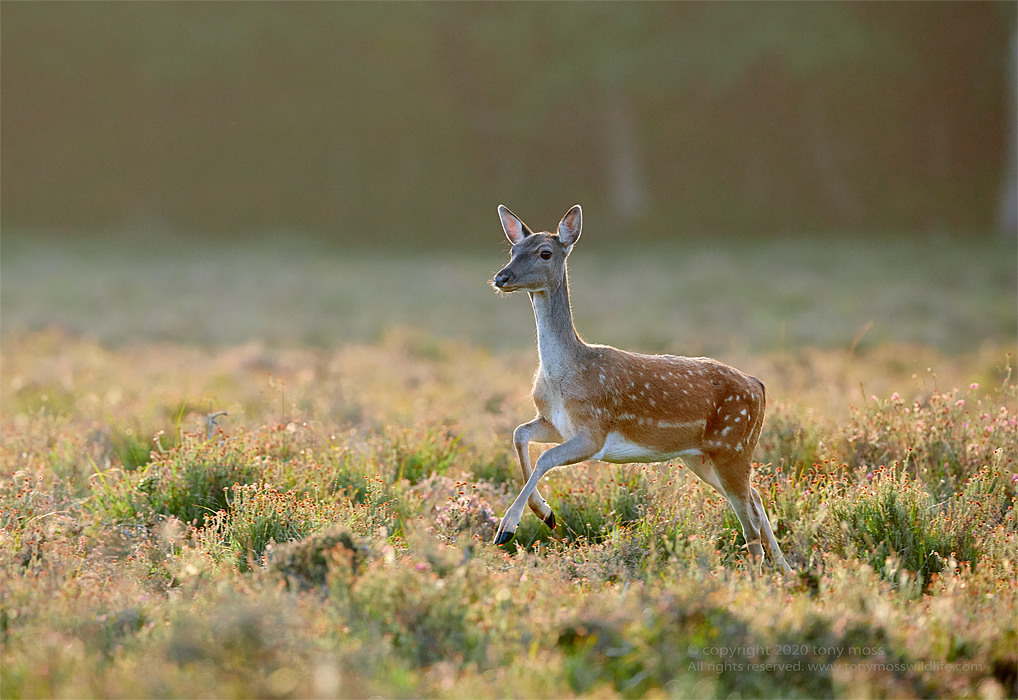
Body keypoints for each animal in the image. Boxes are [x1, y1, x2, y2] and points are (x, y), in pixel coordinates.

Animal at [491, 204, 791, 574]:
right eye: (513, 250)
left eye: (545, 253)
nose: (501, 278)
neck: (563, 376)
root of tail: (759, 387)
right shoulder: (555, 424)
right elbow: (519, 434)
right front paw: (546, 514)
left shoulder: (594, 430)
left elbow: (544, 458)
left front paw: (508, 528)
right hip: (702, 457)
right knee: (757, 498)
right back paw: (787, 572)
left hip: (734, 446)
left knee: (749, 520)